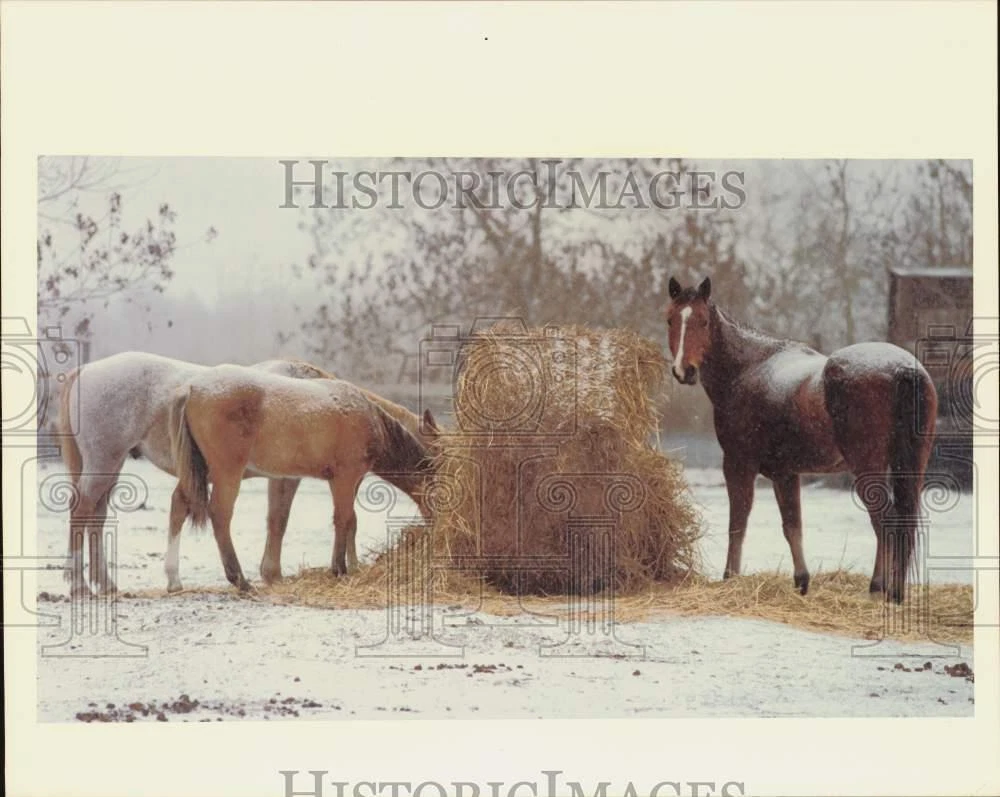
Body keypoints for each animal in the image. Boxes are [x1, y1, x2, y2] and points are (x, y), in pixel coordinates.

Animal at [57, 352, 336, 597]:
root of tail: (87, 370)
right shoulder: (286, 477)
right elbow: (279, 519)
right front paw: (273, 575)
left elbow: (276, 519)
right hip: (104, 461)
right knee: (81, 511)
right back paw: (79, 586)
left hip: (110, 467)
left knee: (96, 515)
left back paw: (105, 585)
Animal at [169, 364, 439, 592]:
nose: (438, 526)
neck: (368, 417)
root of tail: (192, 389)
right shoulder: (345, 478)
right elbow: (344, 519)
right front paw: (340, 569)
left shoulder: (344, 481)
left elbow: (349, 521)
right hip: (227, 472)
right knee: (220, 514)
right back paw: (240, 580)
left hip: (200, 472)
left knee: (179, 506)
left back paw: (175, 581)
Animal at [665, 276, 937, 603]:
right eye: (670, 320)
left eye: (703, 321)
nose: (684, 371)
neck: (748, 369)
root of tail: (901, 368)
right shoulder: (786, 473)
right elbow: (792, 525)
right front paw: (802, 582)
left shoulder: (738, 465)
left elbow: (738, 523)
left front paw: (730, 577)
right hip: (909, 466)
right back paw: (891, 592)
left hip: (867, 468)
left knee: (884, 521)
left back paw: (880, 590)